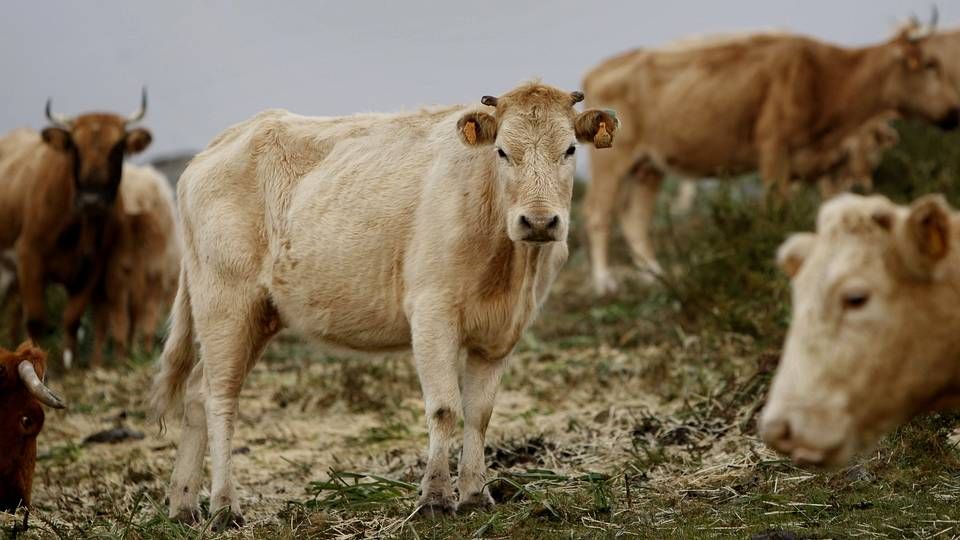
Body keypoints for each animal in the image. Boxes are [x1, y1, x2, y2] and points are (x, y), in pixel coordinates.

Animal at [0, 91, 152, 367]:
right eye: (74, 147)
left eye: (118, 147)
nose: (92, 199)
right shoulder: (29, 254)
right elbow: (36, 318)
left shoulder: (93, 265)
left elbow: (72, 317)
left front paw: (68, 364)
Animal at [148, 81, 618, 528]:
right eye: (502, 150)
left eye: (570, 149)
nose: (538, 221)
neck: (509, 269)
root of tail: (218, 145)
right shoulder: (431, 313)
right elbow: (444, 408)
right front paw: (434, 499)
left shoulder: (501, 332)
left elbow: (479, 413)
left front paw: (475, 495)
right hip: (226, 302)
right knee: (220, 399)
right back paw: (224, 507)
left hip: (257, 314)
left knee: (196, 391)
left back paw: (183, 505)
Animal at [582, 21, 960, 294]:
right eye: (929, 64)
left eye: (875, 145)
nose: (953, 112)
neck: (828, 79)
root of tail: (599, 69)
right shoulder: (773, 149)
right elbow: (776, 208)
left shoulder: (825, 170)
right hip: (611, 162)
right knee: (599, 213)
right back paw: (603, 283)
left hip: (648, 167)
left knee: (634, 217)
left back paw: (653, 275)